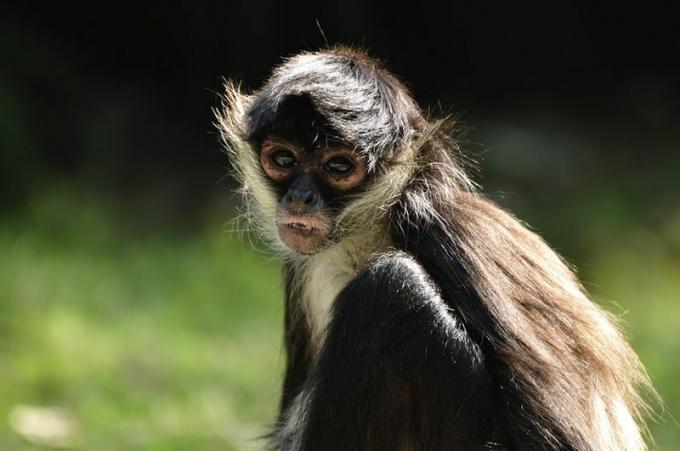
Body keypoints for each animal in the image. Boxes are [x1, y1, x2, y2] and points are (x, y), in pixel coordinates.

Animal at [216, 47, 652, 450]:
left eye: (338, 167)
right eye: (282, 159)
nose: (300, 198)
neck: (370, 237)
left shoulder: (448, 232)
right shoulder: (305, 263)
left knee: (390, 284)